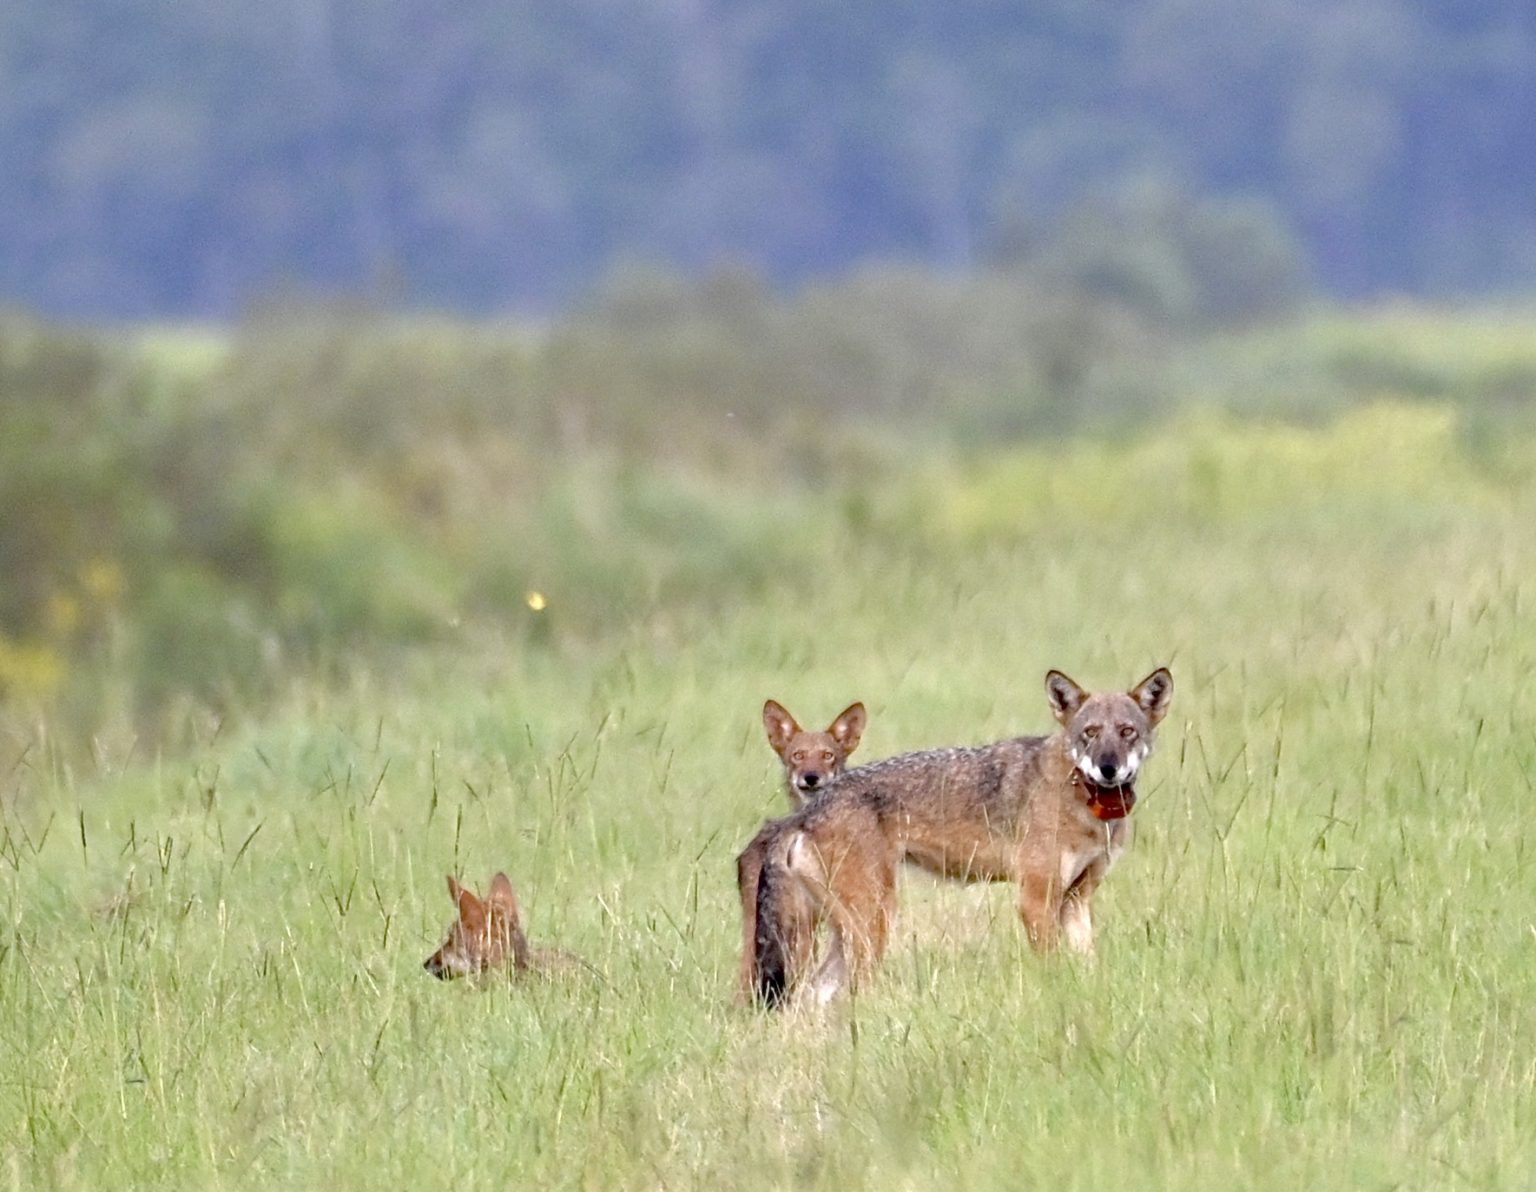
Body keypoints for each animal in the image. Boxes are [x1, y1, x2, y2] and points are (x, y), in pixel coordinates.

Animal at [750, 668, 1173, 1008]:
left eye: (1127, 732)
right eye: (1090, 734)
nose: (1107, 768)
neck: (1085, 802)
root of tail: (802, 814)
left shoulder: (1077, 899)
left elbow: (1088, 965)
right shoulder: (1036, 899)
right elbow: (1051, 967)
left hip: (850, 931)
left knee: (812, 995)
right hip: (873, 924)